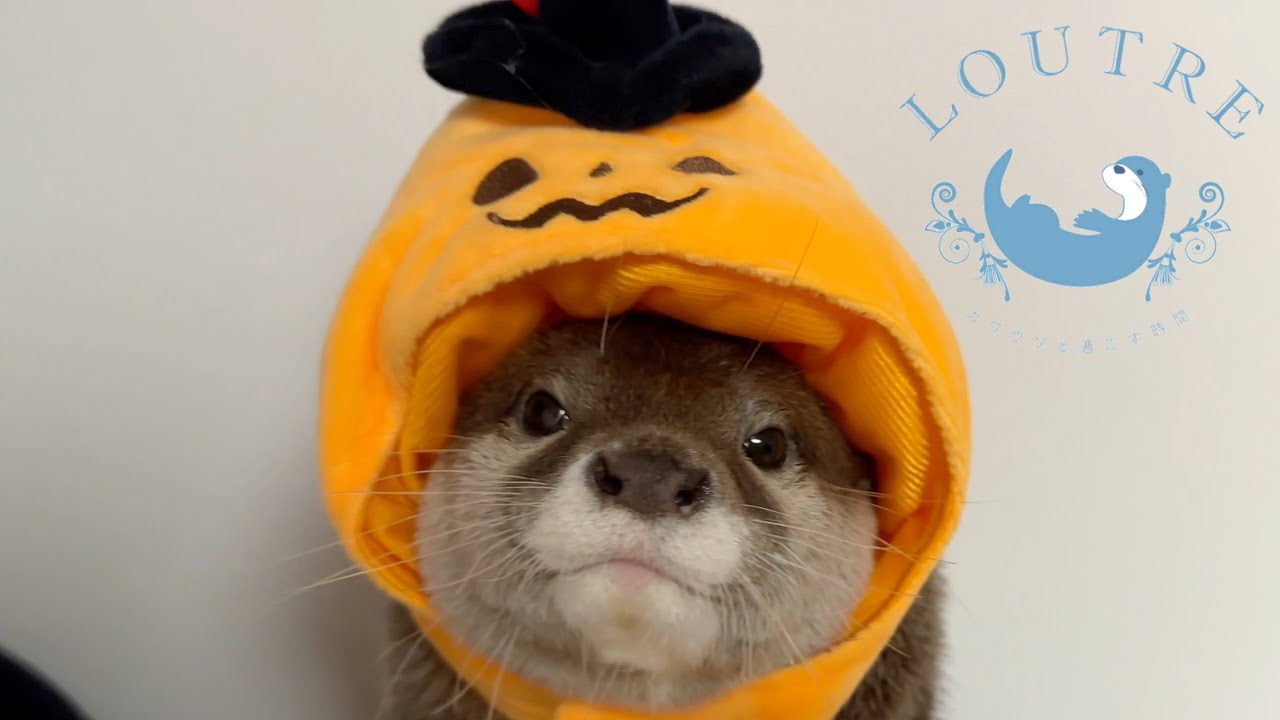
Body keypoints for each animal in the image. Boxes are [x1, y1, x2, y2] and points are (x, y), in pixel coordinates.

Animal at [982, 147, 1171, 287]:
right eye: (1120, 161)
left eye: (1140, 171)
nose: (1118, 168)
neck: (1136, 215)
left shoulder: (1128, 231)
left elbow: (1109, 225)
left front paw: (1088, 217)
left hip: (1044, 215)